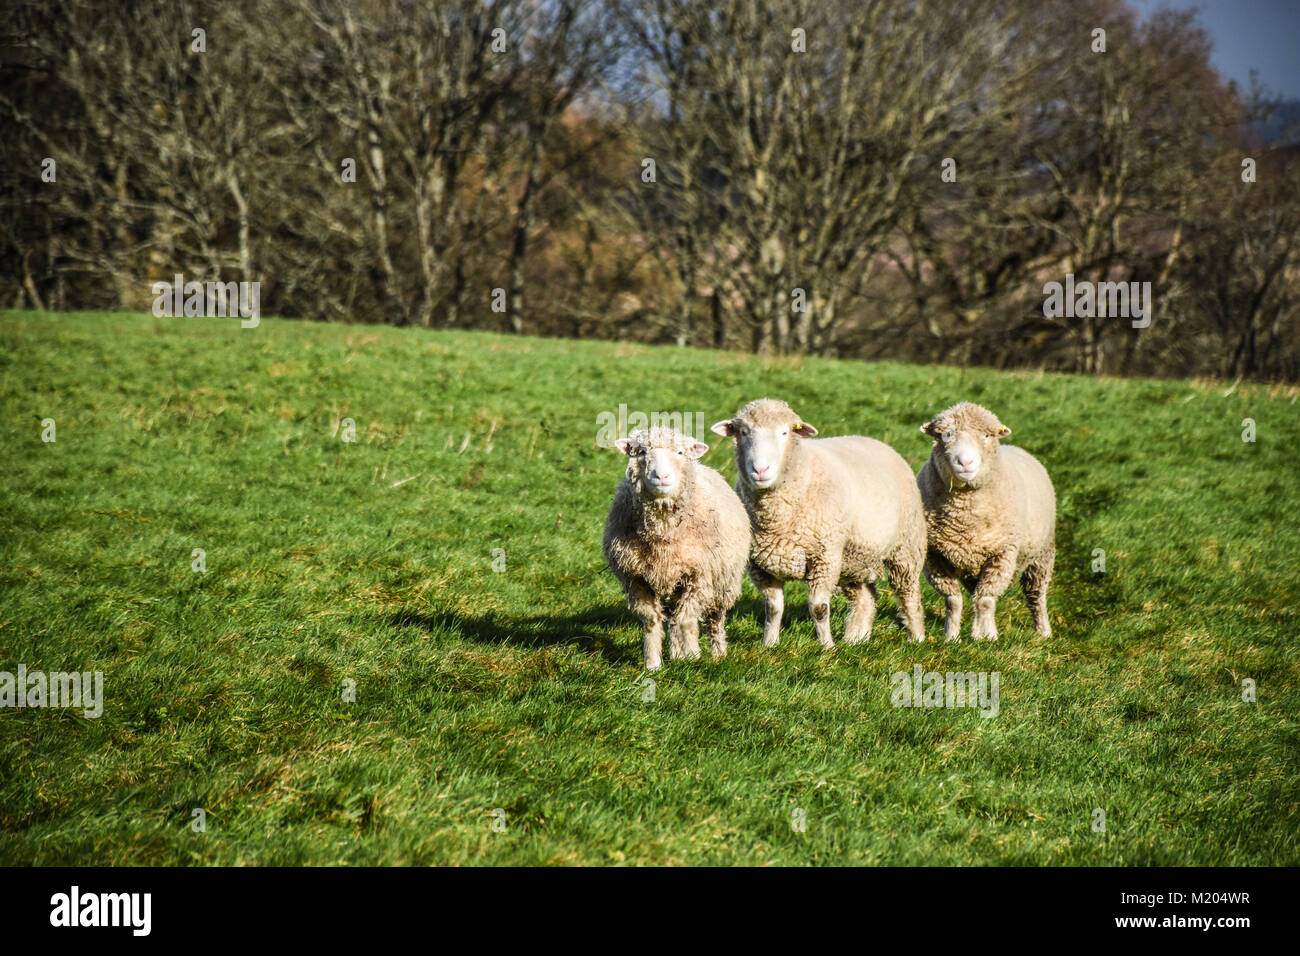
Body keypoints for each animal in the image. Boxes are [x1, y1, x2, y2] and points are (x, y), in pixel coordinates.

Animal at [603, 425, 752, 670]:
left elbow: (687, 620)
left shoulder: (698, 577)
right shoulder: (636, 579)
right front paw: (652, 664)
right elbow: (652, 621)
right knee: (672, 618)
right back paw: (675, 653)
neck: (662, 534)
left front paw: (692, 656)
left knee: (714, 620)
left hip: (724, 583)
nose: (661, 477)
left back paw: (718, 654)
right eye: (642, 452)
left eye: (680, 453)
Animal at [710, 399, 927, 648]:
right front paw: (770, 644)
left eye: (784, 432)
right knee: (865, 597)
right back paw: (855, 639)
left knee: (909, 594)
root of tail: (874, 440)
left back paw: (917, 637)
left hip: (905, 546)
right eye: (744, 432)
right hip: (852, 558)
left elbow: (819, 608)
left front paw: (826, 646)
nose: (760, 470)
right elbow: (773, 609)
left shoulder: (824, 558)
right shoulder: (761, 566)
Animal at [916, 402, 1056, 641]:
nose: (965, 462)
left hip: (1042, 555)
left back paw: (1043, 631)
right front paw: (951, 637)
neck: (964, 518)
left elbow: (986, 600)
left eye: (987, 435)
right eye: (945, 435)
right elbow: (953, 600)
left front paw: (990, 638)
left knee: (1036, 594)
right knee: (974, 593)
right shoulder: (934, 557)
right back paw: (974, 632)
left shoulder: (1003, 554)